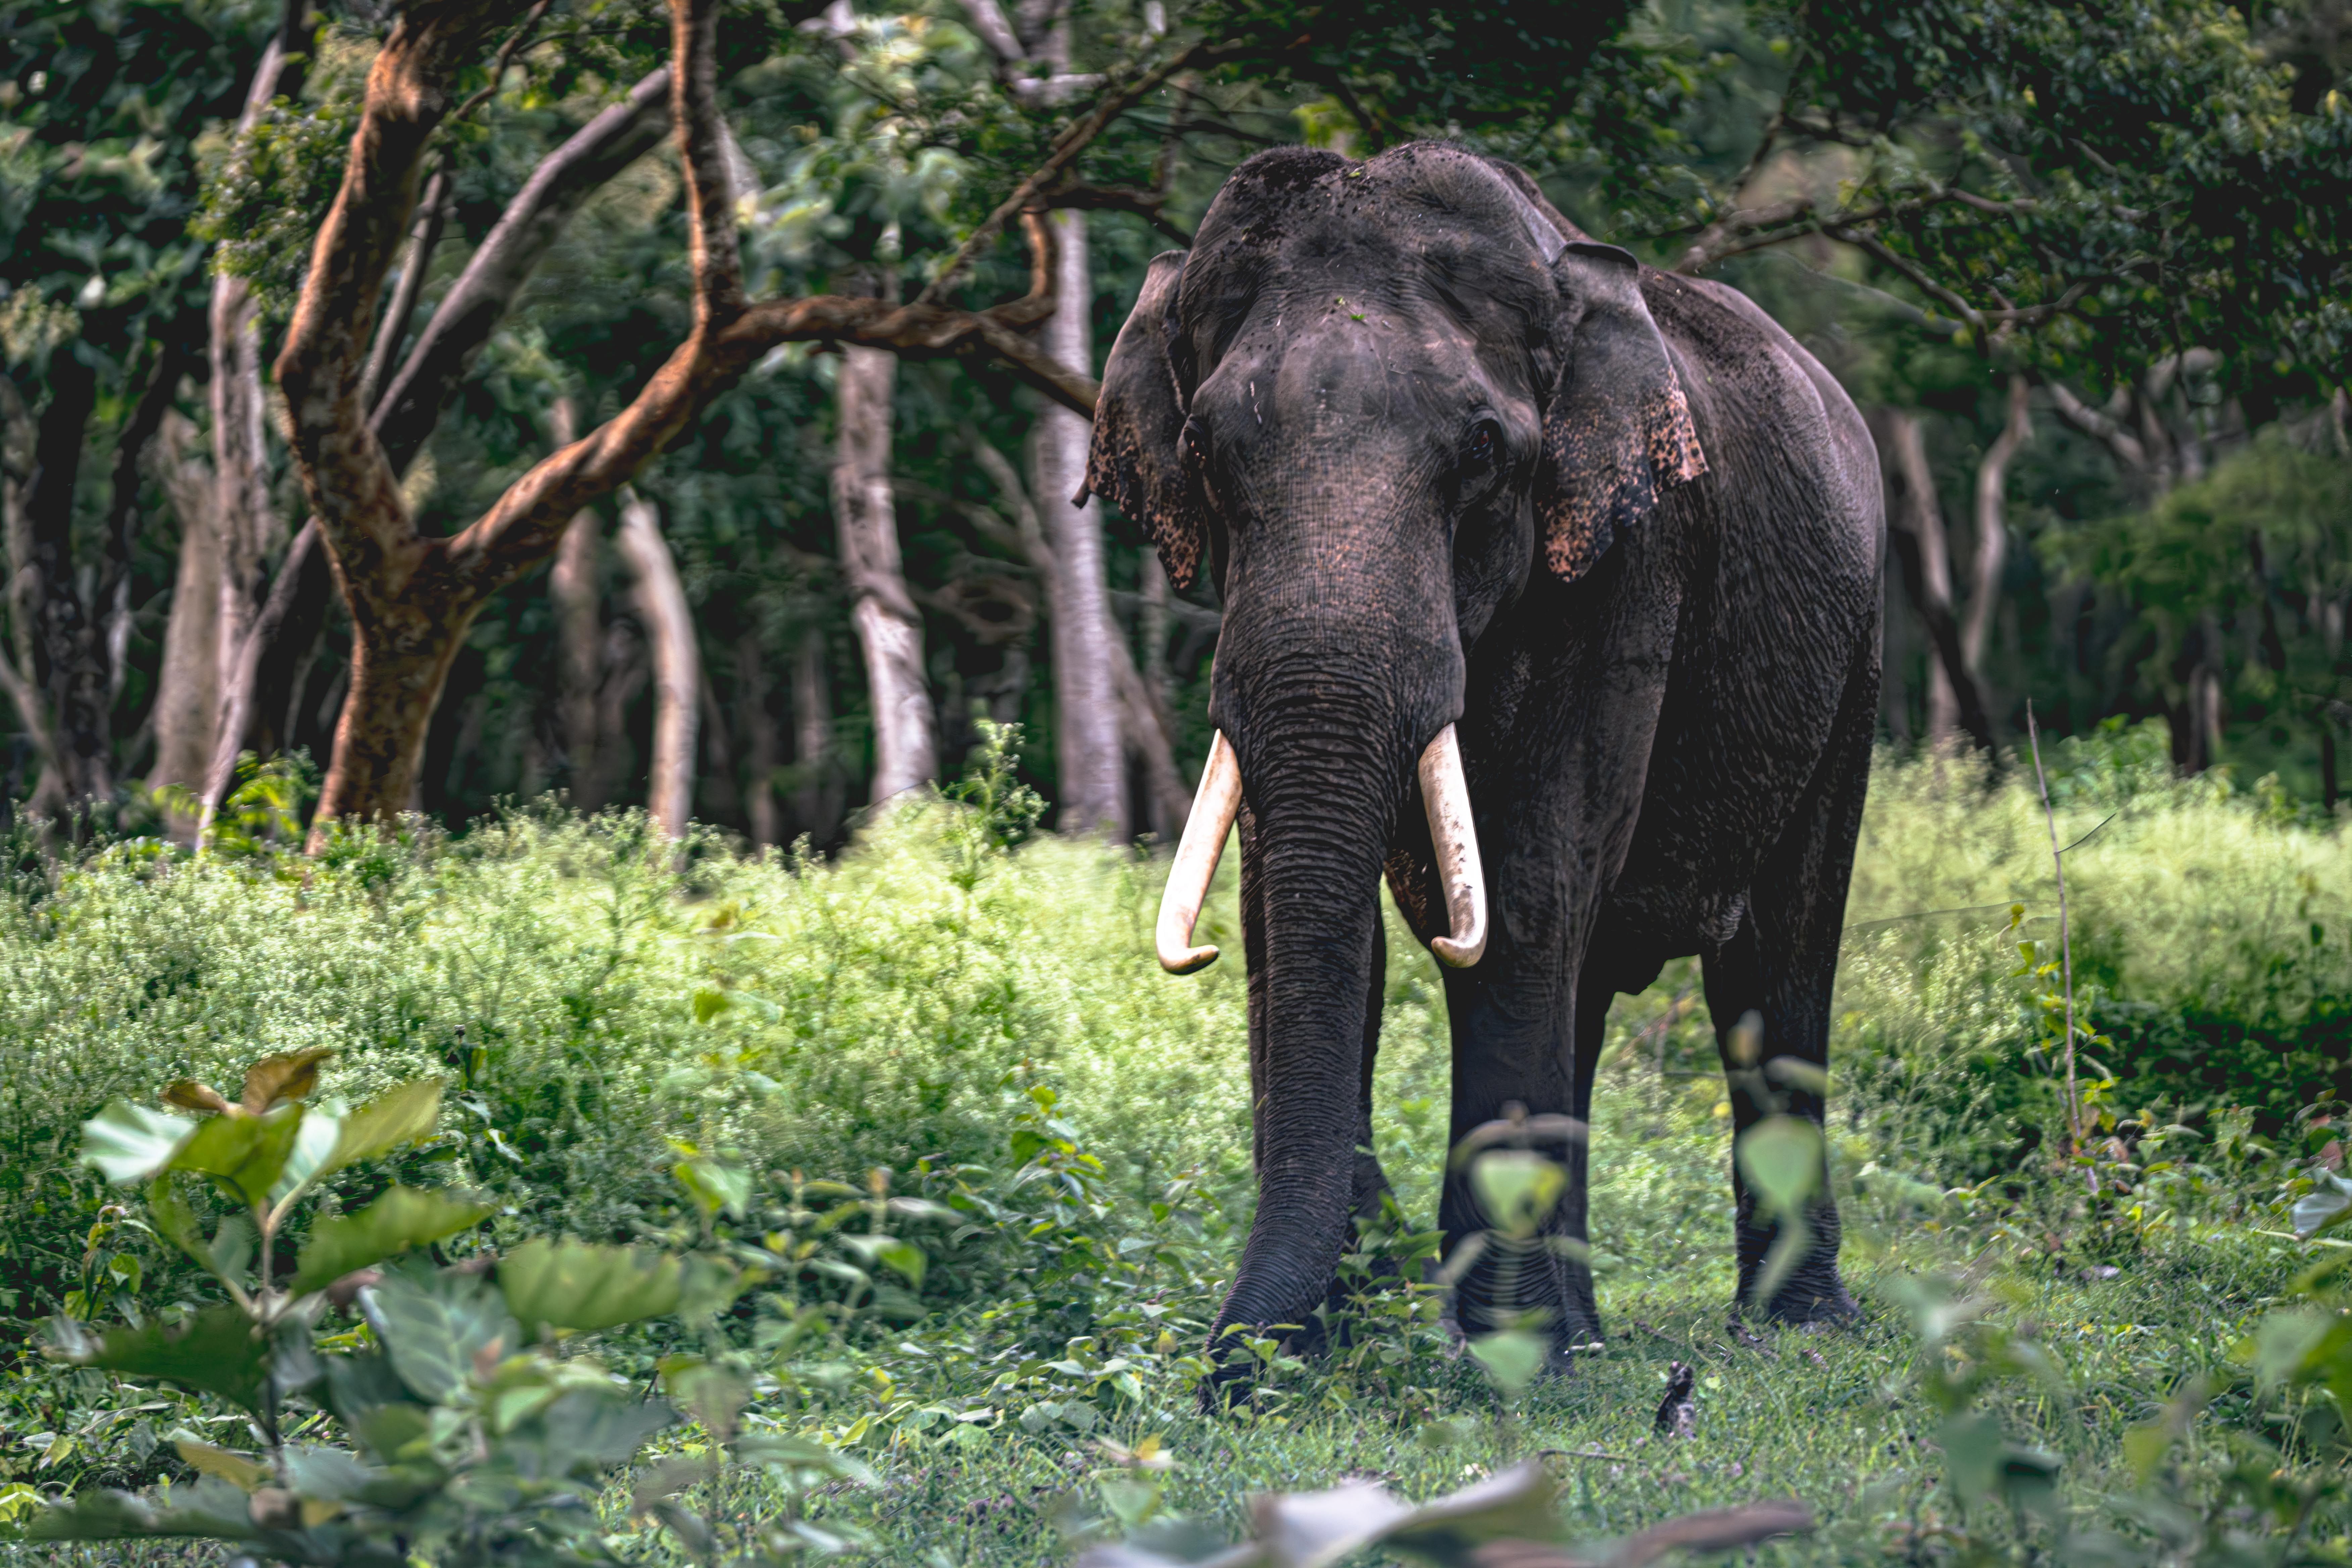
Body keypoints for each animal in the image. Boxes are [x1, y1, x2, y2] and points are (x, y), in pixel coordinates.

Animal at [1081, 142, 1882, 1390]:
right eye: (1204, 453)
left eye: (1482, 454)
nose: (1224, 1381)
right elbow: (1294, 910)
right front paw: (1351, 1341)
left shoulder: (1629, 557)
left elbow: (1534, 881)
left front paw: (1503, 1359)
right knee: (1599, 994)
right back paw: (1591, 1331)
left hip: (1852, 653)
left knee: (1776, 962)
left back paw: (1792, 1327)